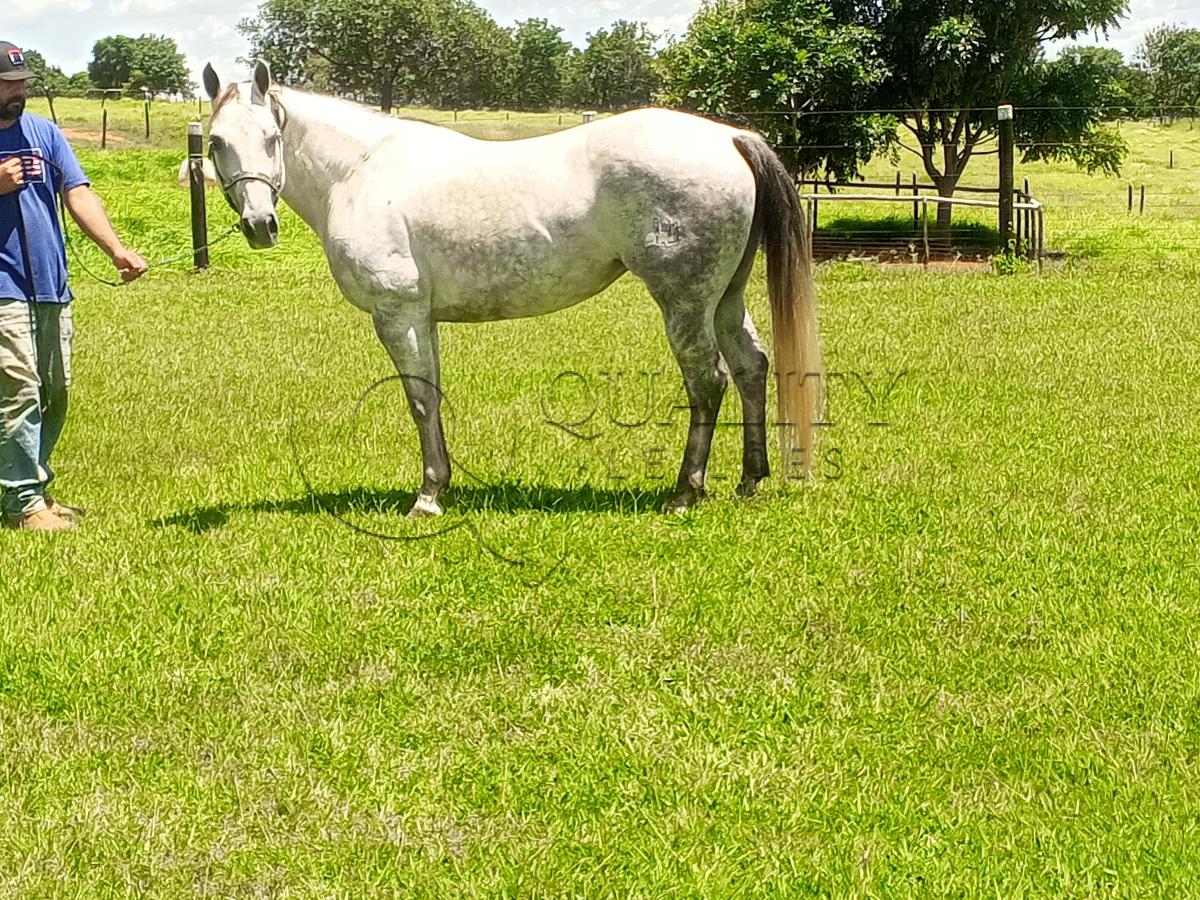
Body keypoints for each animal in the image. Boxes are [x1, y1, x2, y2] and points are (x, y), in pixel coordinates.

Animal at [202, 62, 822, 517]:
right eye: (215, 143)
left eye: (271, 137)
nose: (259, 225)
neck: (360, 169)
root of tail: (731, 137)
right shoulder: (422, 317)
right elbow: (433, 395)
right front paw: (442, 484)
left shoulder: (397, 313)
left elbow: (418, 399)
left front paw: (427, 497)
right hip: (725, 297)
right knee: (751, 367)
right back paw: (750, 479)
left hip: (684, 301)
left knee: (708, 381)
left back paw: (685, 492)